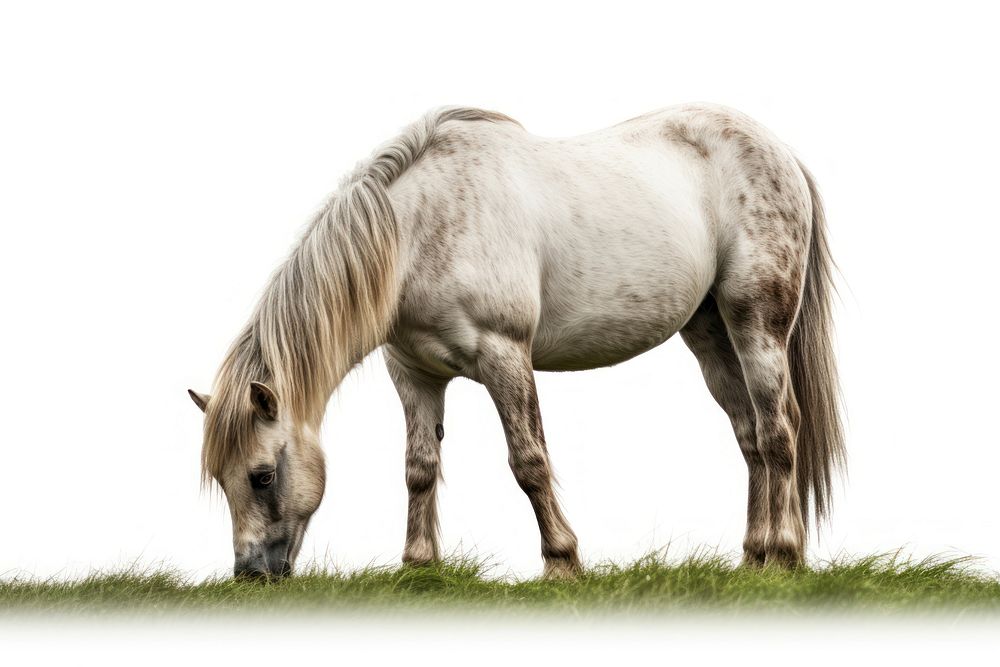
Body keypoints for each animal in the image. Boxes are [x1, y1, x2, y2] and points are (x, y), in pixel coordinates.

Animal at [188, 104, 845, 579]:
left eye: (261, 476)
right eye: (220, 477)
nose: (250, 574)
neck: (417, 233)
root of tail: (779, 151)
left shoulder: (504, 355)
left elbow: (528, 461)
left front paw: (562, 562)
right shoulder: (415, 374)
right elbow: (419, 467)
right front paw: (418, 566)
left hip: (756, 322)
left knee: (780, 430)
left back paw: (784, 554)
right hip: (710, 336)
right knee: (750, 435)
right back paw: (753, 558)